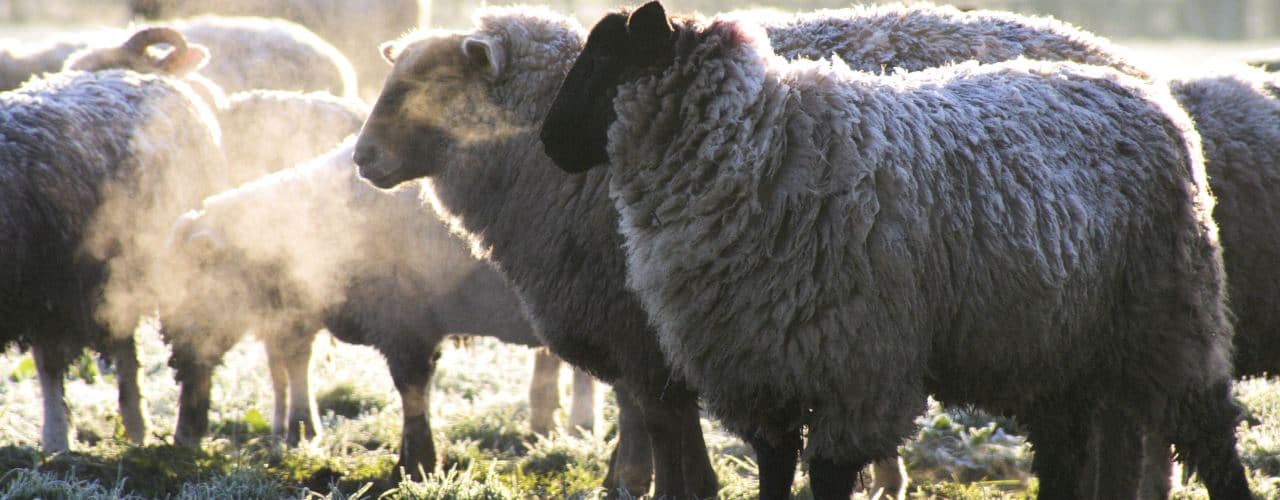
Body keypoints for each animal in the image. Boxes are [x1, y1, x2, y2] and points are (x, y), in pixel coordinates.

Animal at [0, 69, 224, 453]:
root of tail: (158, 79)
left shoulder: (49, 291)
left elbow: (49, 365)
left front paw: (57, 443)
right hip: (113, 283)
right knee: (126, 351)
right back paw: (137, 428)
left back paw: (182, 435)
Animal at [538, 3, 1251, 498]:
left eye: (602, 61)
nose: (548, 143)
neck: (762, 148)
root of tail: (1150, 96)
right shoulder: (760, 363)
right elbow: (774, 466)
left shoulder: (855, 365)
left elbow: (828, 473)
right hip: (1053, 340)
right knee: (1065, 449)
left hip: (1170, 313)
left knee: (1211, 437)